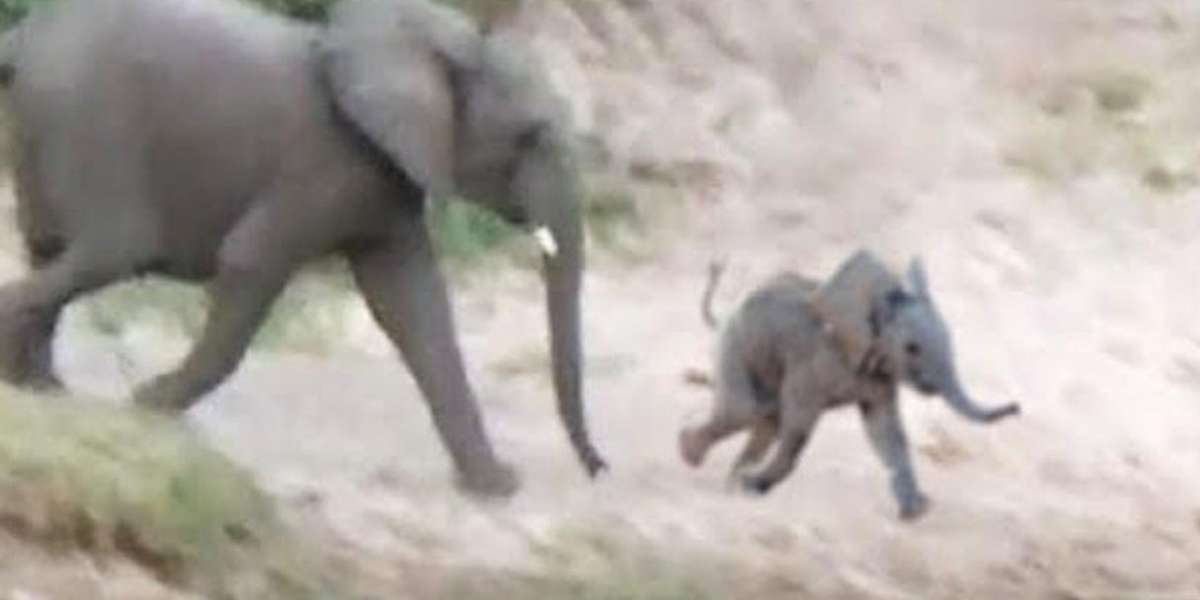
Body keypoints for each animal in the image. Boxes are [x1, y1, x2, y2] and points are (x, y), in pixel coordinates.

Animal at [0, 0, 607, 498]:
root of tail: (24, 39)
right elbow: (250, 258)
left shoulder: (386, 179)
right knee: (115, 248)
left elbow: (412, 305)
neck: (447, 42)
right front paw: (148, 404)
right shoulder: (325, 167)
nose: (599, 468)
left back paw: (41, 389)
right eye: (530, 136)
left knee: (50, 247)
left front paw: (495, 485)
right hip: (90, 123)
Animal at [679, 250, 1020, 521]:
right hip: (735, 341)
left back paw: (731, 486)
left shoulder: (879, 374)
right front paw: (752, 486)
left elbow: (886, 431)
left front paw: (917, 512)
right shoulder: (813, 360)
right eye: (911, 348)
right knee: (747, 409)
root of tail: (727, 311)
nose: (1017, 407)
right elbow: (799, 425)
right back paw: (692, 455)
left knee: (767, 419)